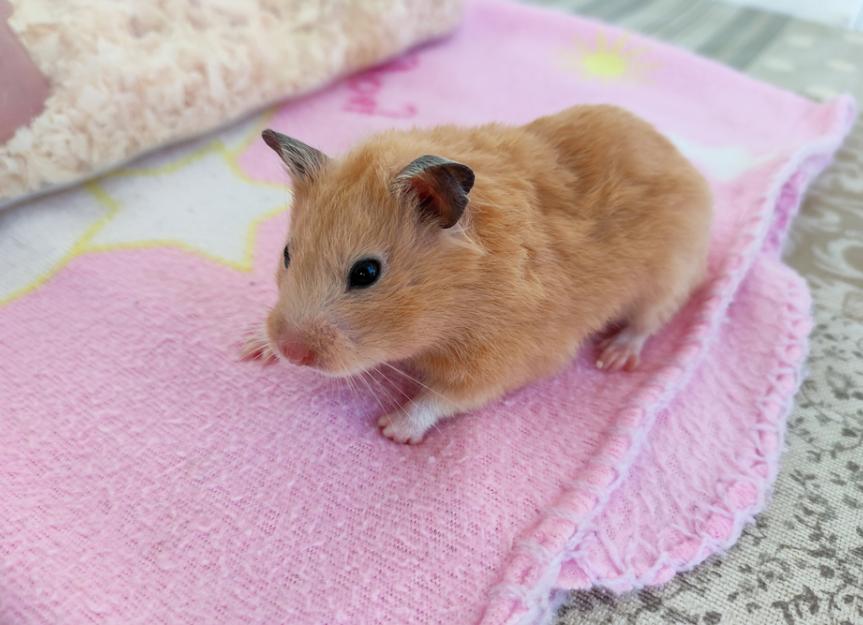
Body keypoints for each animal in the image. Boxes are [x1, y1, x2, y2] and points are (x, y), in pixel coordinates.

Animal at [246, 105, 712, 444]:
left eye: (366, 272)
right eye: (287, 253)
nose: (291, 351)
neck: (459, 294)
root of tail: (681, 159)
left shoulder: (500, 360)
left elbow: (442, 398)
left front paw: (392, 429)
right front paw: (254, 349)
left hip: (671, 271)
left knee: (649, 320)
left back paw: (614, 356)